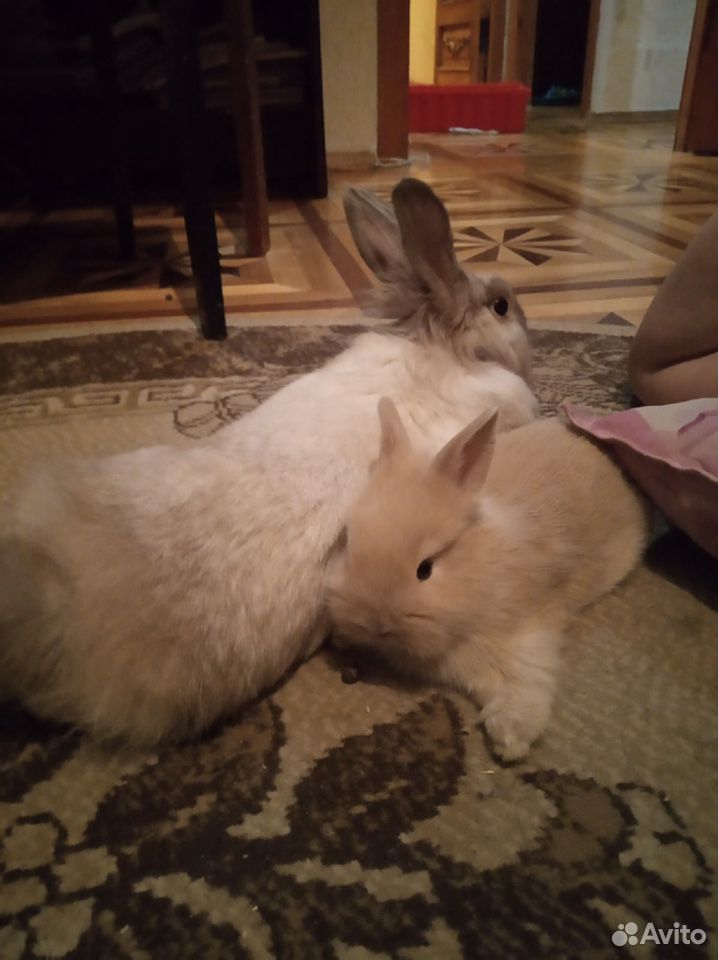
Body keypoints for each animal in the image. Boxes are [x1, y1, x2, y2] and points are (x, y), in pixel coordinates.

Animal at [326, 398, 649, 761]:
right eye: (348, 544)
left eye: (425, 569)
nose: (376, 625)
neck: (481, 571)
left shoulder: (524, 637)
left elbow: (526, 683)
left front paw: (510, 741)